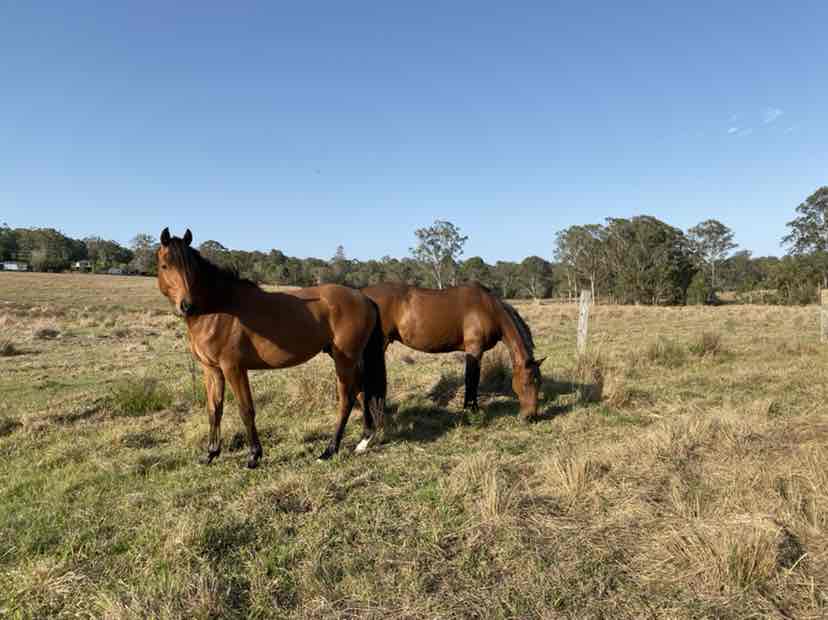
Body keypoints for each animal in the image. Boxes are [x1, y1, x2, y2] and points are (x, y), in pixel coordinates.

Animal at [156, 228, 386, 468]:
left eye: (191, 267)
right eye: (164, 265)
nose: (187, 306)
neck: (218, 310)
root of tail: (363, 297)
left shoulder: (234, 368)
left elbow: (246, 409)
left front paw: (253, 456)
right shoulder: (212, 370)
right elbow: (214, 409)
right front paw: (210, 453)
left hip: (345, 359)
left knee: (347, 399)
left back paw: (329, 451)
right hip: (345, 357)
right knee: (362, 392)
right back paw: (363, 441)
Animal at [360, 282, 546, 421]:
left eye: (539, 383)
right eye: (527, 383)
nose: (530, 416)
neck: (489, 308)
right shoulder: (474, 350)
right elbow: (472, 379)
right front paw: (471, 409)